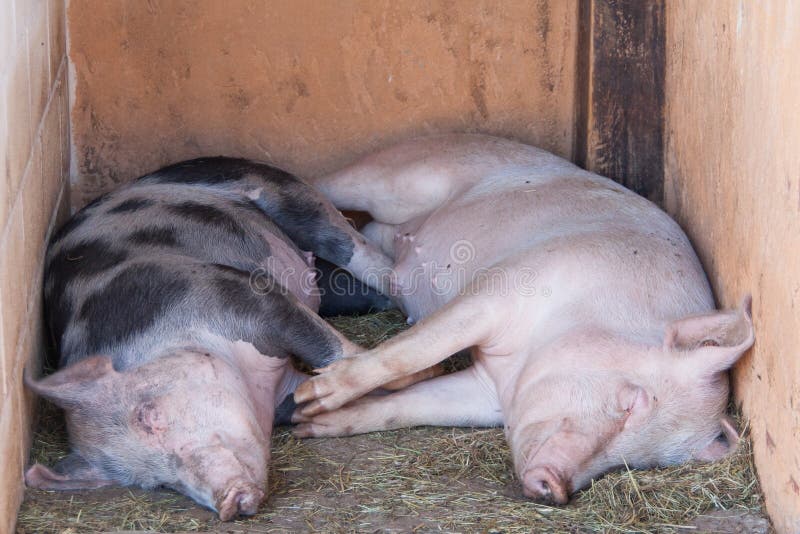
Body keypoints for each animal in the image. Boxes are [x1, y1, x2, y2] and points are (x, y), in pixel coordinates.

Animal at [24, 157, 401, 520]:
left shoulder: (245, 297)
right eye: (158, 483)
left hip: (277, 188)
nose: (229, 501)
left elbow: (334, 352)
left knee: (358, 250)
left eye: (149, 415)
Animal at [293, 134, 755, 504]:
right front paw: (310, 396)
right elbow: (416, 351)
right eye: (631, 402)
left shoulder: (486, 394)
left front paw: (307, 424)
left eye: (641, 462)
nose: (555, 486)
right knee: (323, 185)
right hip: (399, 173)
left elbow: (409, 407)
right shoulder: (502, 290)